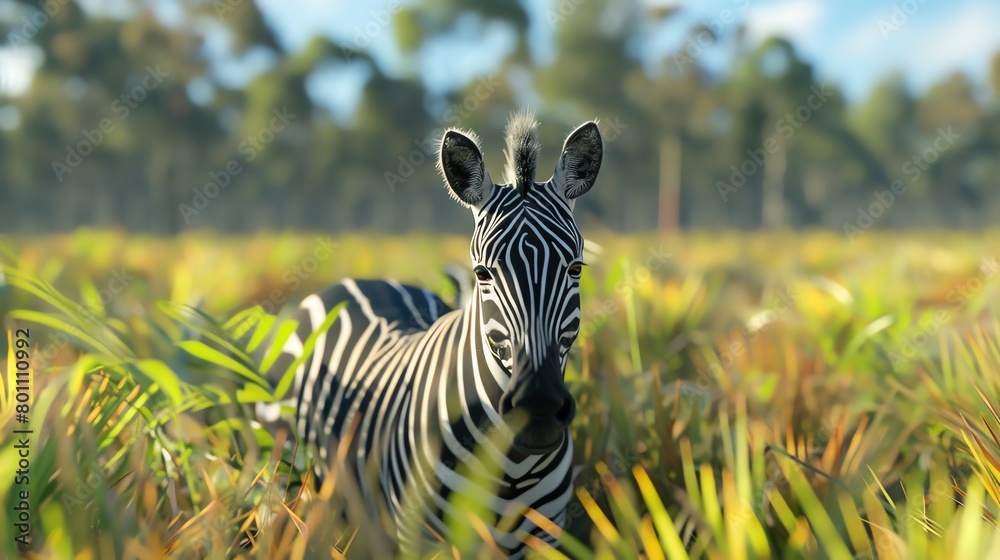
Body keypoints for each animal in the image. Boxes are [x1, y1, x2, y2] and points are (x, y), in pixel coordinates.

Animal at [259, 110, 603, 556]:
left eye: (576, 268)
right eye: (482, 274)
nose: (537, 407)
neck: (511, 464)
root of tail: (353, 282)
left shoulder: (547, 537)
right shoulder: (420, 536)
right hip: (284, 473)